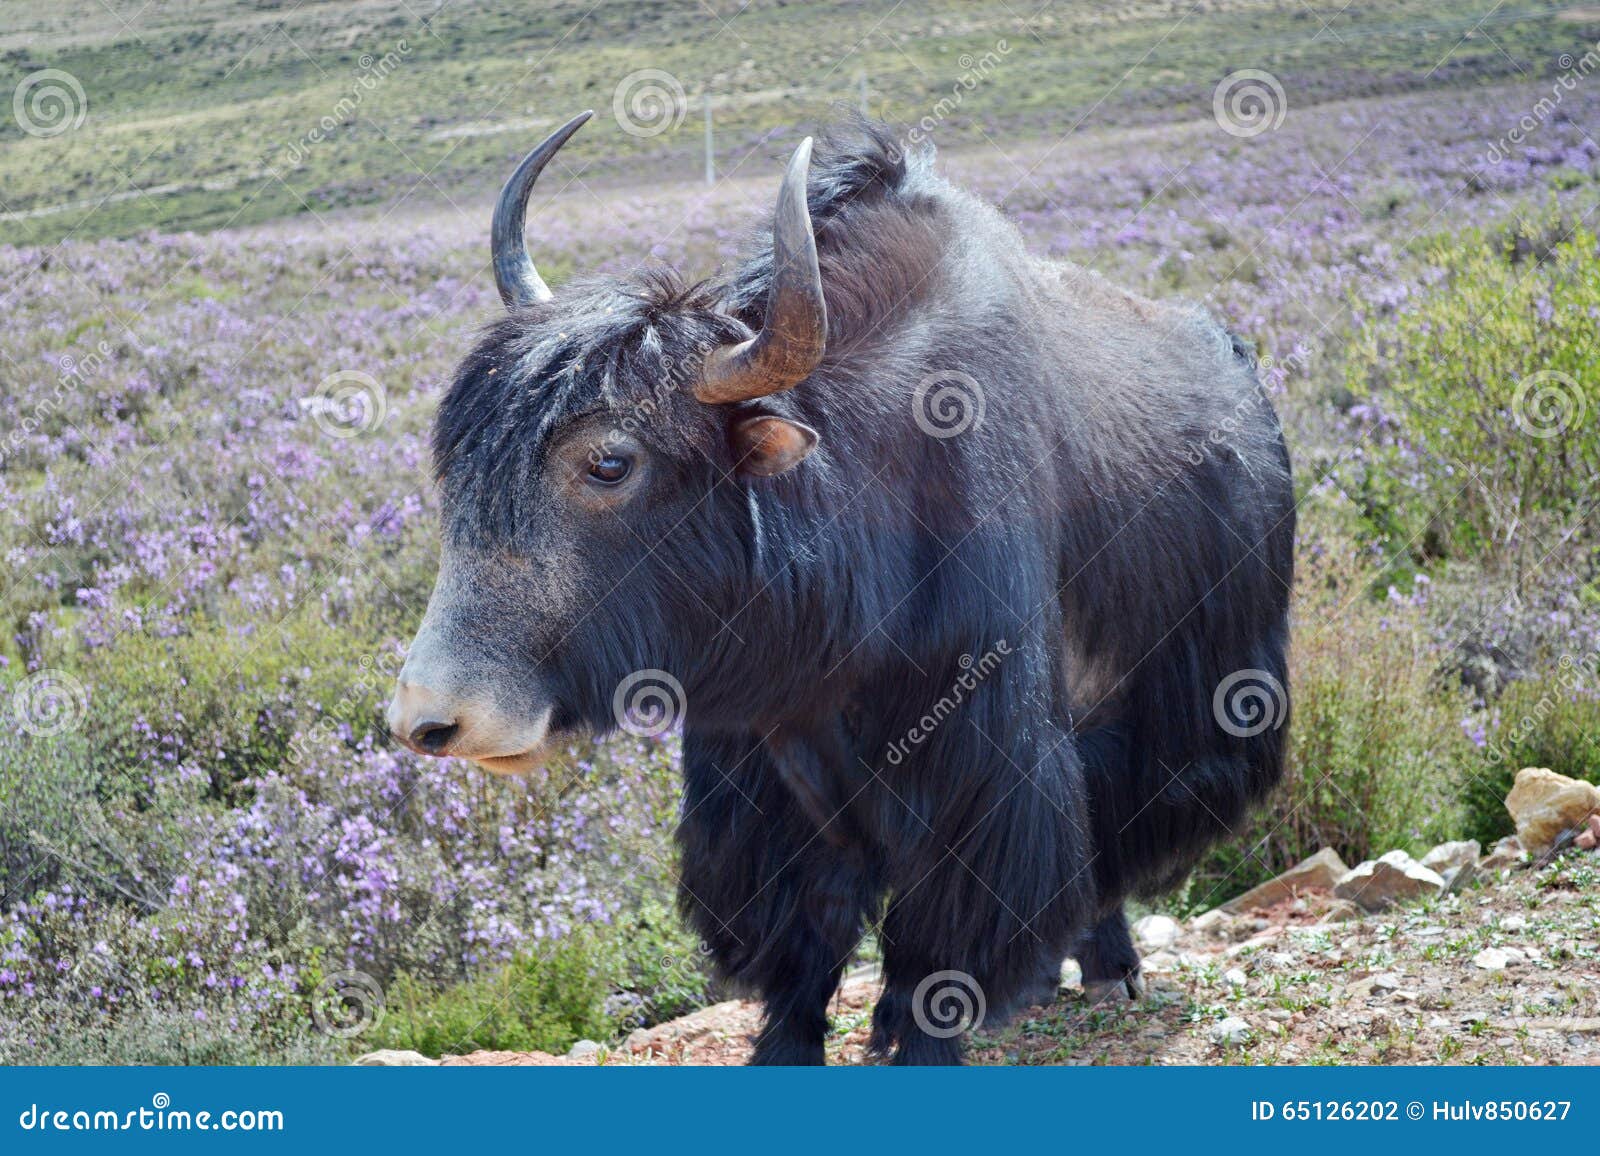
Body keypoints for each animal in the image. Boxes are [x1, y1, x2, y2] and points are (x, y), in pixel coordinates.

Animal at [387, 110, 1295, 1065]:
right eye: (459, 459)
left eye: (609, 462)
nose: (427, 721)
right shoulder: (764, 773)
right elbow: (805, 938)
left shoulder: (981, 766)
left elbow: (943, 941)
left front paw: (926, 1039)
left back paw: (1107, 973)